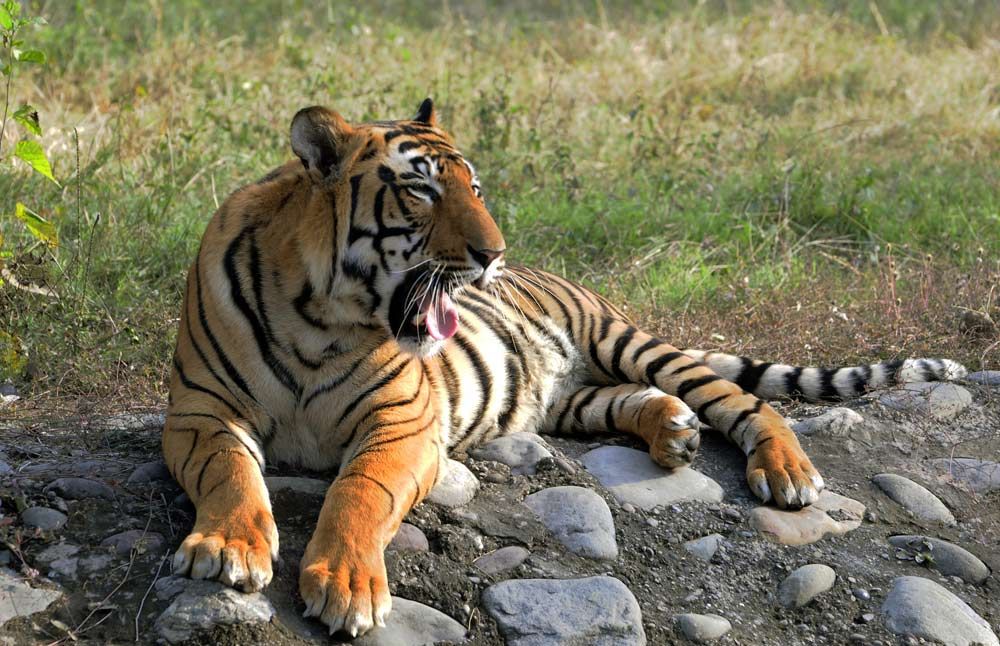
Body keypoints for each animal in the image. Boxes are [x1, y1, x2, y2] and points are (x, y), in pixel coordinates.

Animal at [163, 98, 967, 637]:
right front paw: (228, 549)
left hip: (625, 340)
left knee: (743, 400)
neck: (321, 314)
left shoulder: (403, 421)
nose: (494, 253)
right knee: (634, 400)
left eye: (475, 188)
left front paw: (348, 584)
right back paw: (673, 433)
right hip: (565, 399)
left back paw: (786, 471)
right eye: (420, 189)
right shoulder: (201, 412)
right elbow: (232, 475)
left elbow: (361, 491)